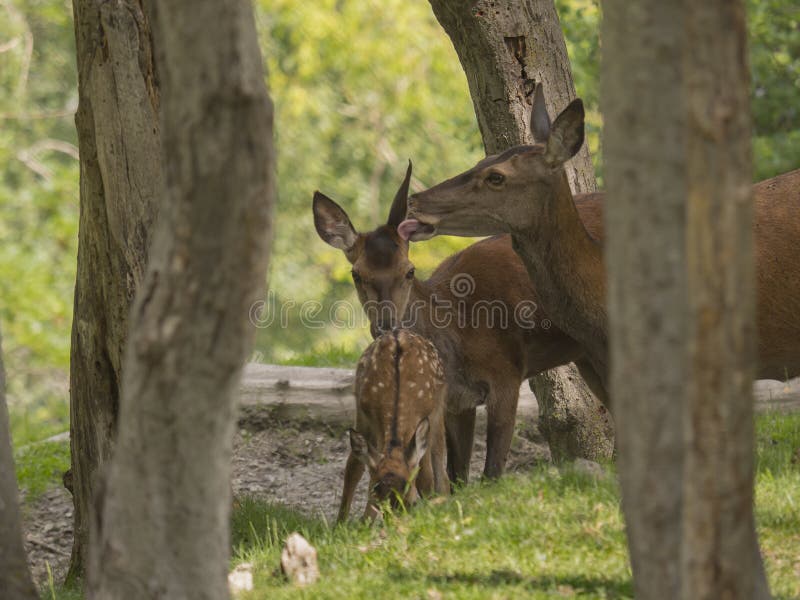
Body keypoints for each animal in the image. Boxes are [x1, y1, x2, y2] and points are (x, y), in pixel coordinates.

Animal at [337, 329, 449, 522]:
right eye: (376, 493)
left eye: (412, 503)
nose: (396, 524)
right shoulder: (363, 413)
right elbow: (353, 466)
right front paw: (344, 524)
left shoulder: (425, 417)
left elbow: (425, 477)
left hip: (438, 409)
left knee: (440, 471)